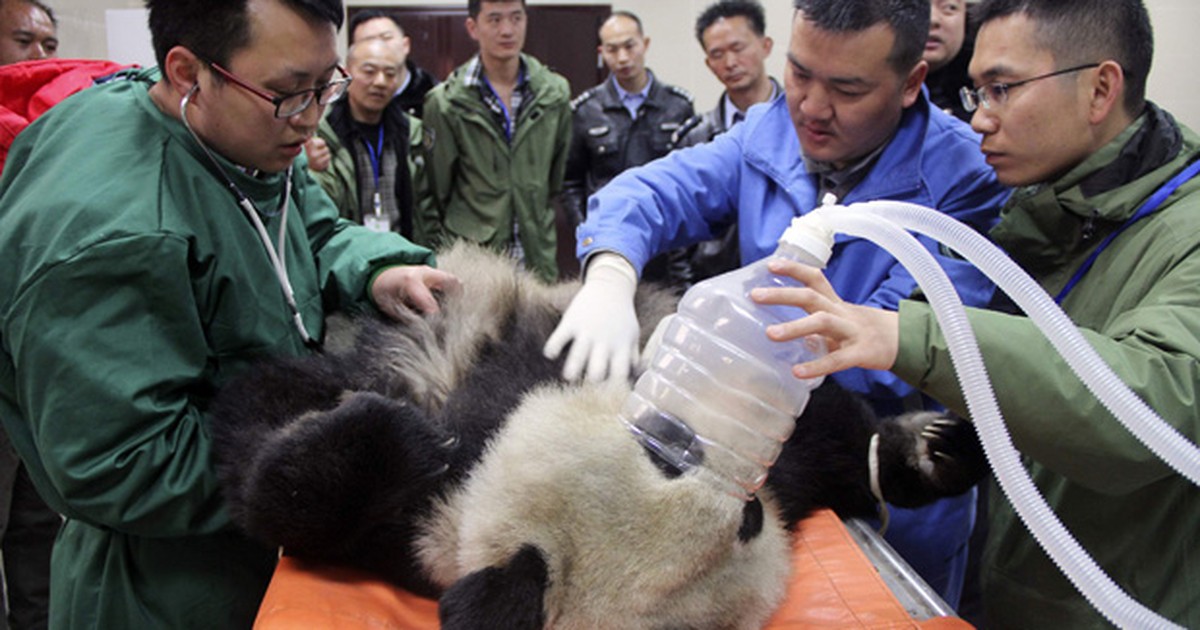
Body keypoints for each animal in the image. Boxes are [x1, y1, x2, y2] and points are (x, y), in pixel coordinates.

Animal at [208, 242, 984, 630]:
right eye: (746, 526)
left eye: (672, 448)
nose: (748, 495)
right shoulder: (409, 529)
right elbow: (279, 496)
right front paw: (406, 439)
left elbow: (833, 439)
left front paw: (924, 452)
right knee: (269, 399)